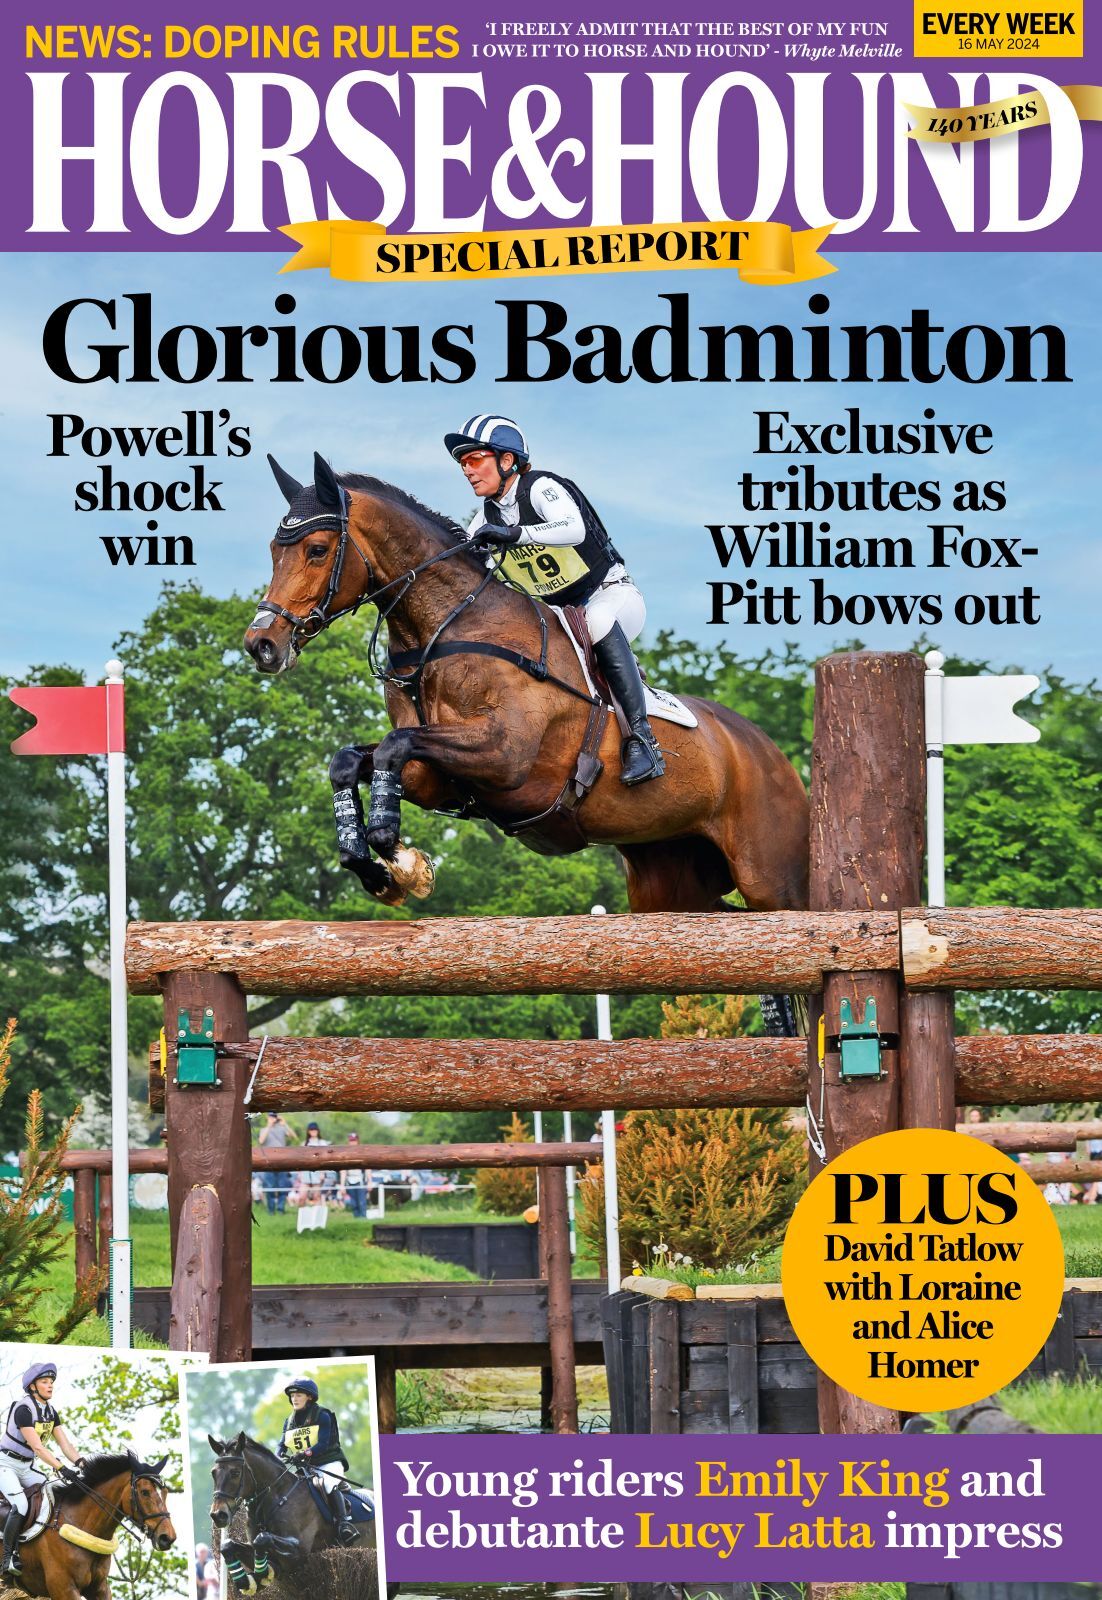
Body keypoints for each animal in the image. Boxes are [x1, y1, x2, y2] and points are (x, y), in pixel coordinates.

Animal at [208, 1434, 376, 1595]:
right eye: (213, 1473)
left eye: (235, 1472)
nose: (218, 1515)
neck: (277, 1497)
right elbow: (228, 1544)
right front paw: (247, 1580)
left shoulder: (299, 1553)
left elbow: (262, 1538)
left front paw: (261, 1574)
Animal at [244, 454, 809, 1026]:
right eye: (272, 550)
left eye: (317, 549)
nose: (262, 645)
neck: (445, 631)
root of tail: (776, 755)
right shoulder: (433, 777)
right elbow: (354, 759)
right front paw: (379, 870)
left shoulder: (503, 757)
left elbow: (393, 745)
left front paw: (401, 859)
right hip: (668, 884)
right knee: (729, 928)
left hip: (773, 880)